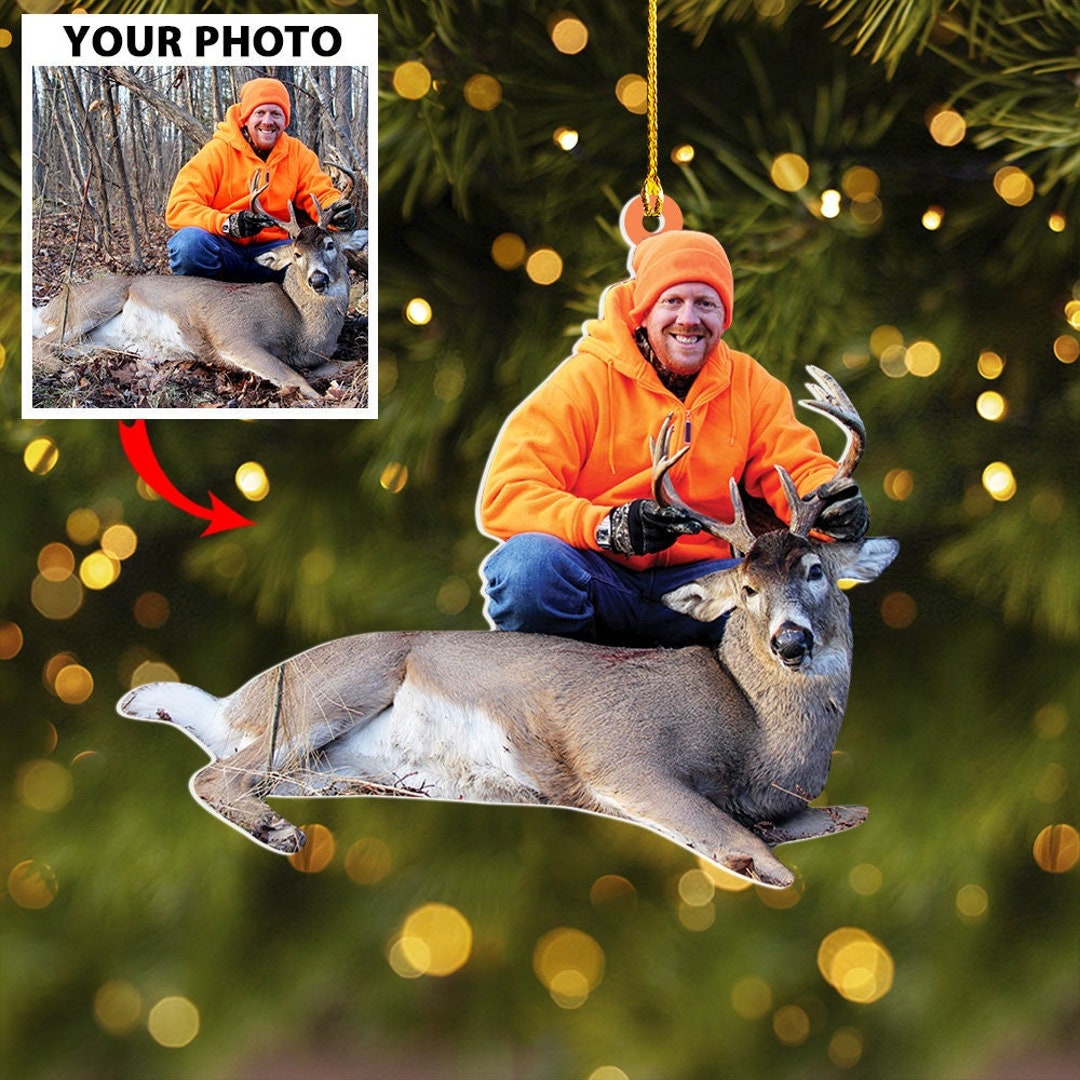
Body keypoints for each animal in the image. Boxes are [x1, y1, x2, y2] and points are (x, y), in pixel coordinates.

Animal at [32, 171, 369, 401]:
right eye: (297, 254)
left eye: (329, 245)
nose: (317, 279)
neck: (301, 327)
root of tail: (51, 304)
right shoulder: (234, 336)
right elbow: (298, 381)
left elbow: (350, 362)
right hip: (94, 303)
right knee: (41, 344)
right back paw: (60, 369)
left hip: (93, 337)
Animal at [117, 367, 898, 888]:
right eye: (746, 589)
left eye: (817, 571)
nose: (790, 641)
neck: (759, 737)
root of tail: (235, 700)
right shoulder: (623, 754)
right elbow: (750, 847)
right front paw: (753, 861)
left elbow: (853, 809)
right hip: (336, 686)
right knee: (216, 773)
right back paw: (278, 832)